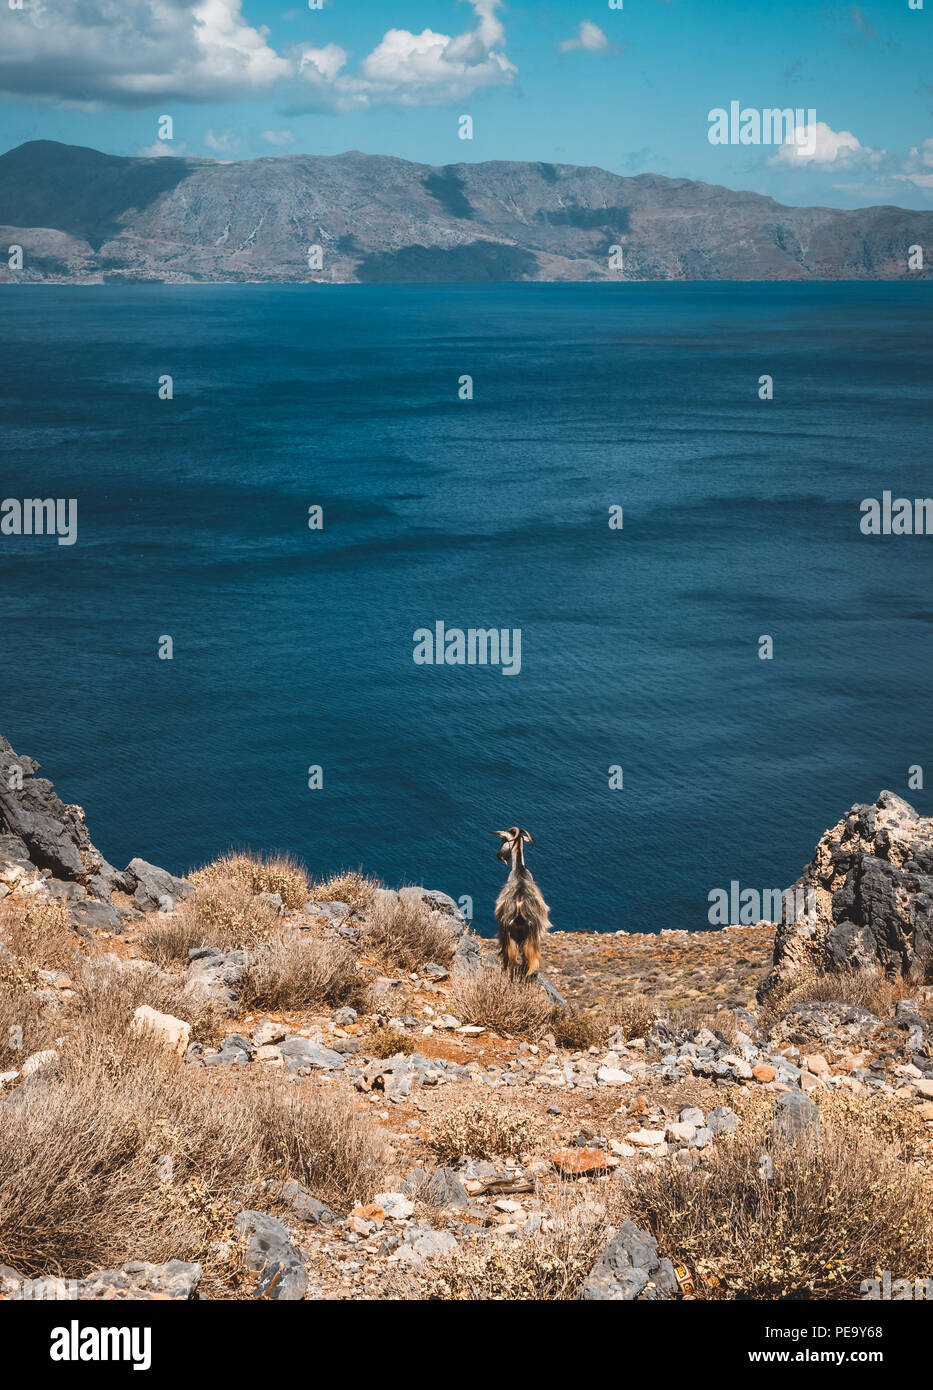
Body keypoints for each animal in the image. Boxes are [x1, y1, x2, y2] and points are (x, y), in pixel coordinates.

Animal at [492, 826, 552, 980]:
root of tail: (519, 906)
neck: (519, 869)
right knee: (528, 961)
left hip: (509, 934)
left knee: (511, 960)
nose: (498, 855)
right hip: (529, 937)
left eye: (503, 840)